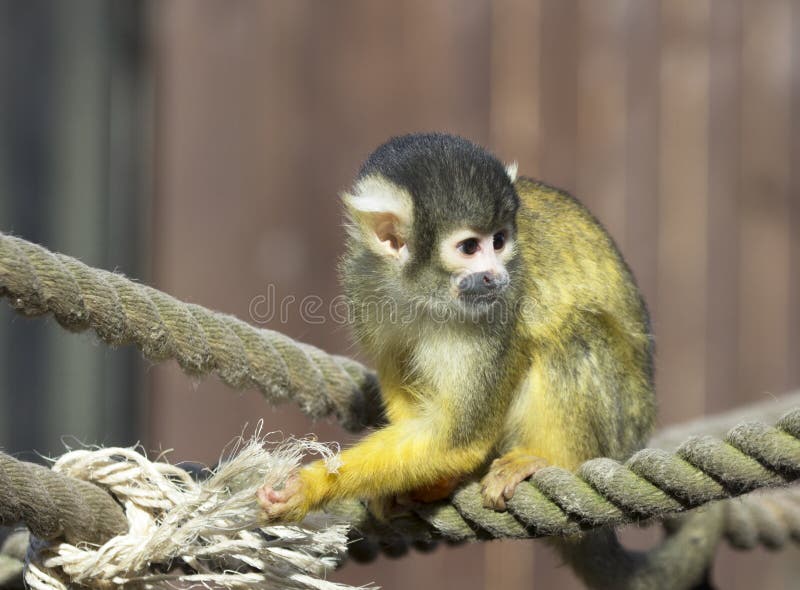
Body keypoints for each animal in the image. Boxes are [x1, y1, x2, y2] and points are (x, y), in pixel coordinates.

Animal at [257, 132, 655, 522]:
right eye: (469, 247)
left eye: (500, 241)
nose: (497, 277)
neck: (425, 290)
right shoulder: (363, 284)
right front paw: (407, 487)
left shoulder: (499, 309)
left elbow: (458, 440)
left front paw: (310, 487)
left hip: (617, 427)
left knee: (574, 335)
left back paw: (548, 458)